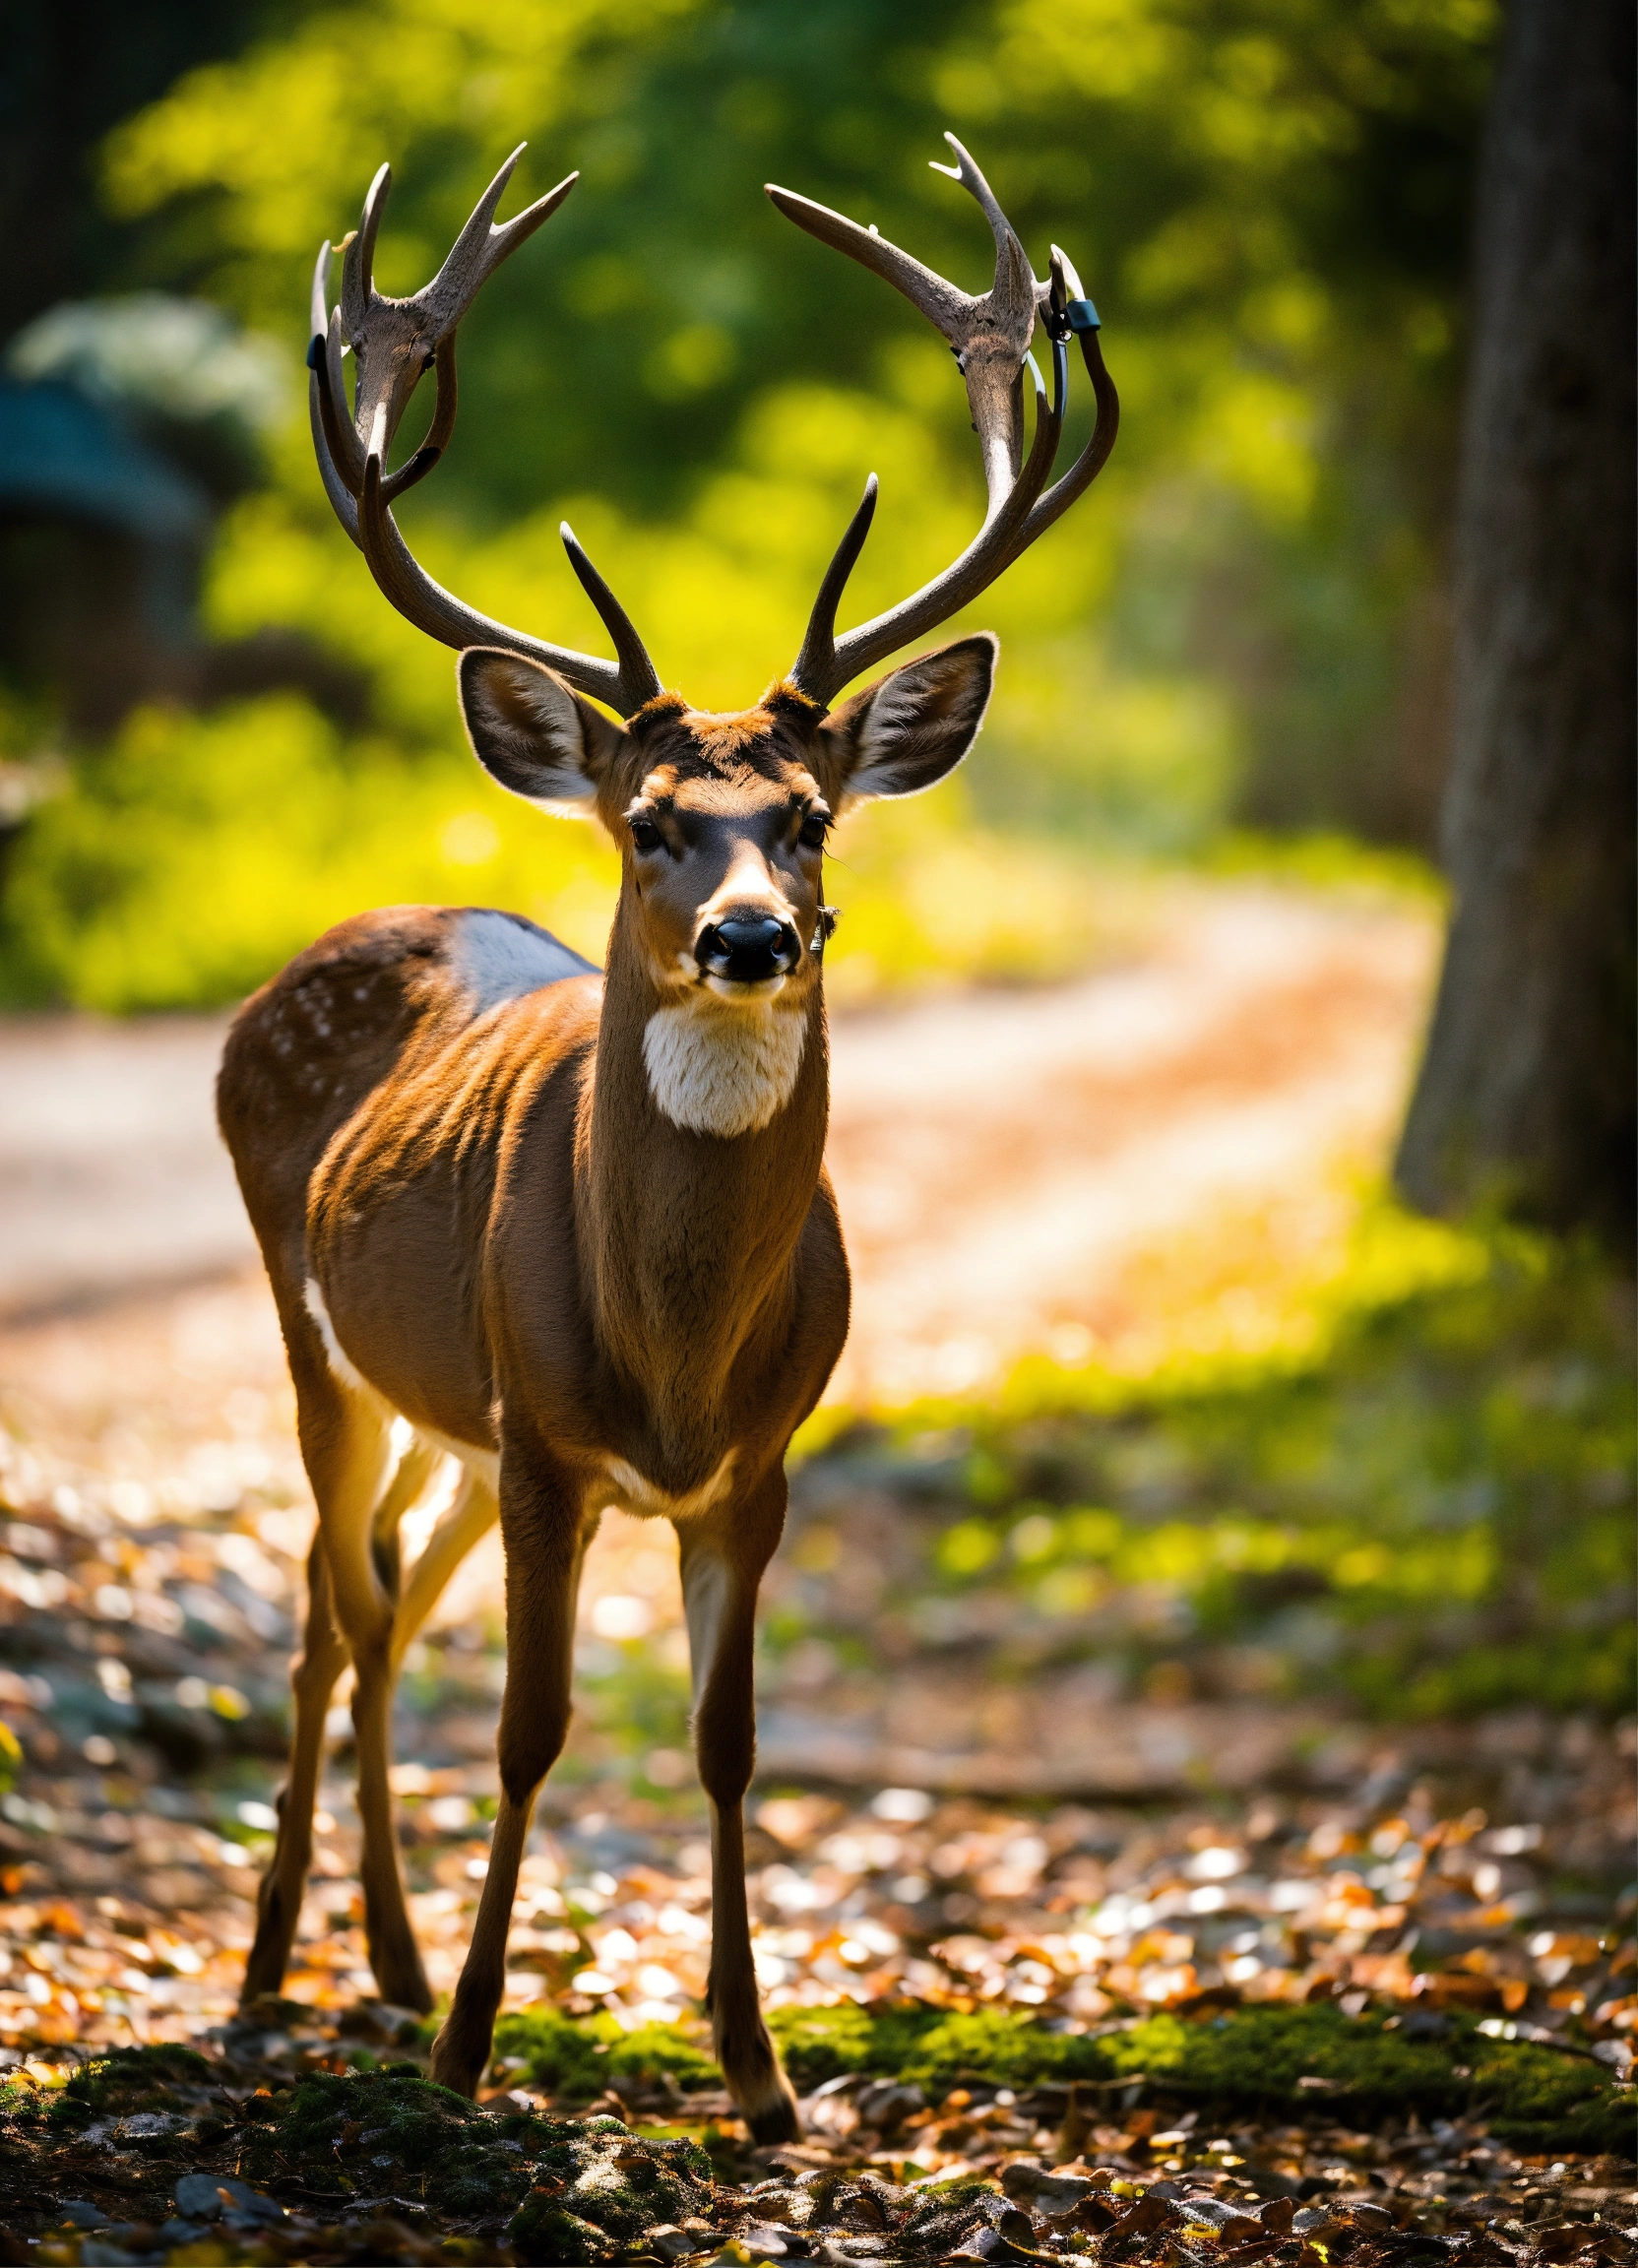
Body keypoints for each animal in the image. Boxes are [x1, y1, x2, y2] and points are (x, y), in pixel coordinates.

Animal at [217, 133, 1116, 2139]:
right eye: (649, 821)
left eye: (809, 818)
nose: (751, 936)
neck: (674, 1354)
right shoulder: (551, 1447)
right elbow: (529, 1727)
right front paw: (473, 2052)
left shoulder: (759, 1461)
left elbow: (727, 1739)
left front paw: (763, 2076)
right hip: (321, 1343)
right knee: (326, 1602)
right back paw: (277, 1975)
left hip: (446, 1412)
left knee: (378, 1596)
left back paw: (379, 1960)